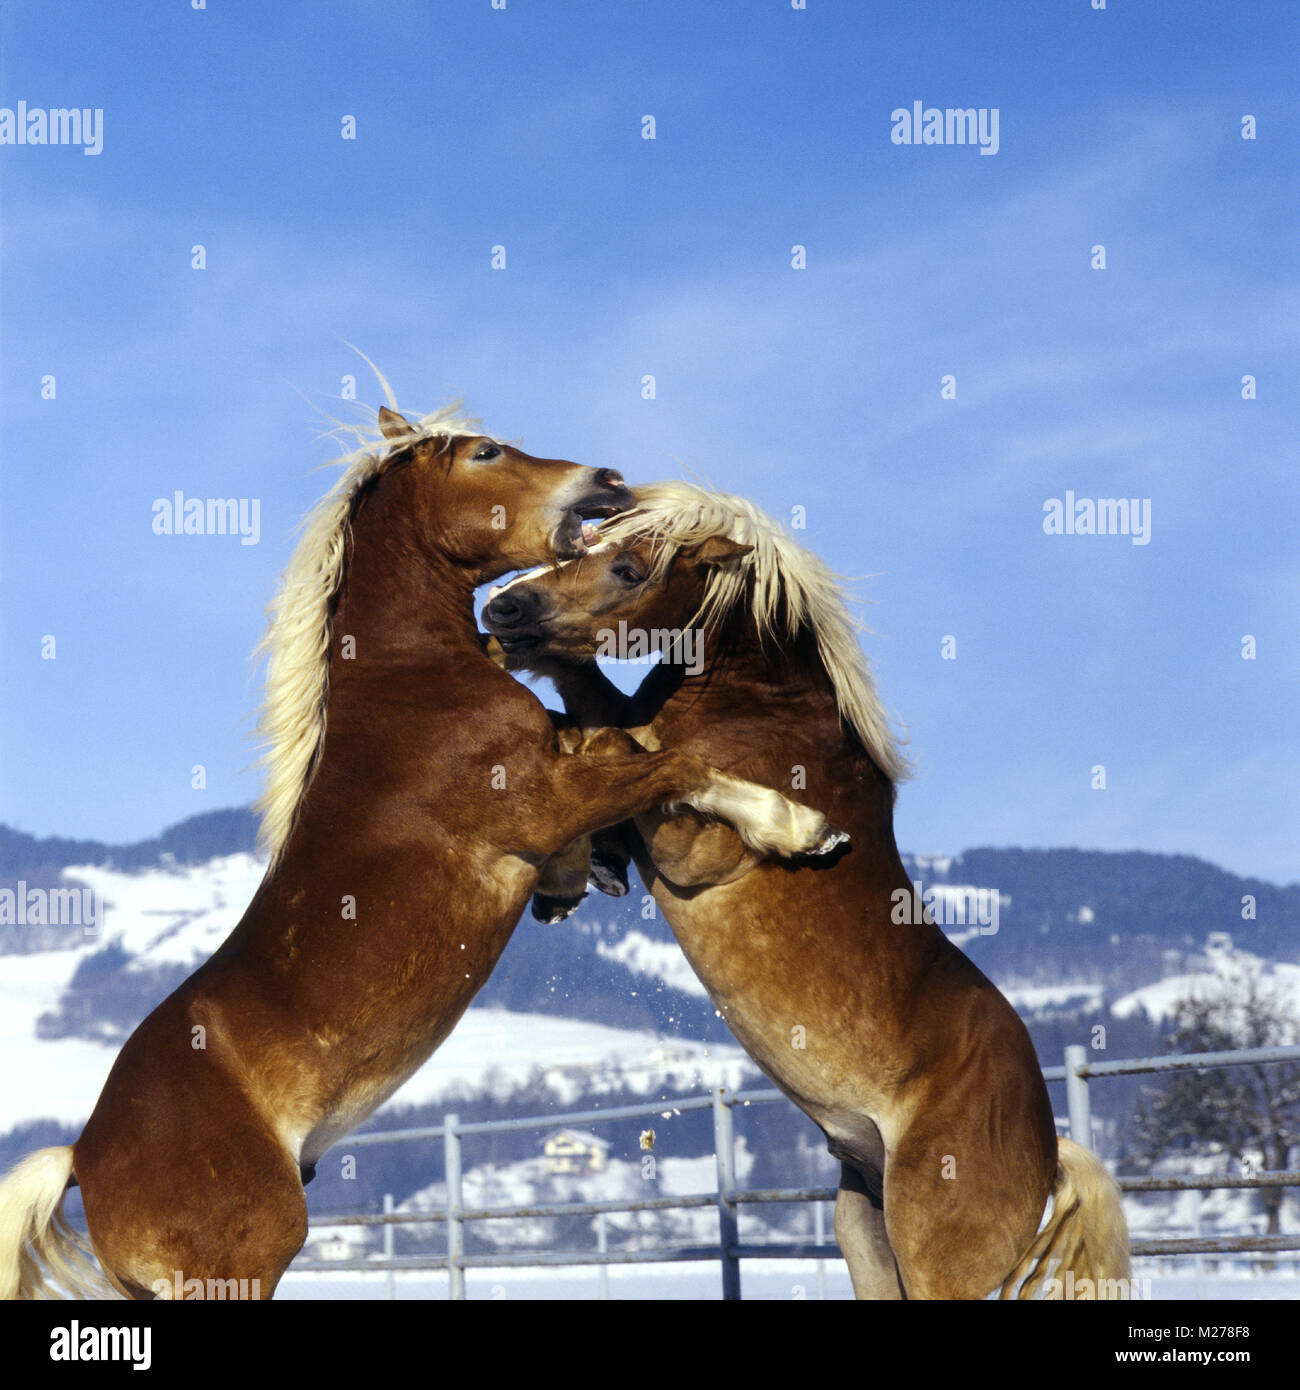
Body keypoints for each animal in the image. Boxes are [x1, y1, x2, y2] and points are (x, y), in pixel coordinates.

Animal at [0, 409, 849, 1300]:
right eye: (485, 451)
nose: (608, 478)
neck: (412, 685)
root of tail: (84, 1157)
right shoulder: (541, 799)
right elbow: (668, 762)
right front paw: (802, 825)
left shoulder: (559, 770)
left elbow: (614, 743)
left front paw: (576, 880)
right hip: (241, 1265)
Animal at [483, 481, 1132, 1300]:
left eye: (630, 569)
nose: (504, 609)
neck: (760, 704)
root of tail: (1050, 1153)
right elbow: (589, 731)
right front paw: (575, 877)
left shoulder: (693, 853)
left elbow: (618, 744)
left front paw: (805, 833)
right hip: (864, 1228)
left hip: (933, 1257)